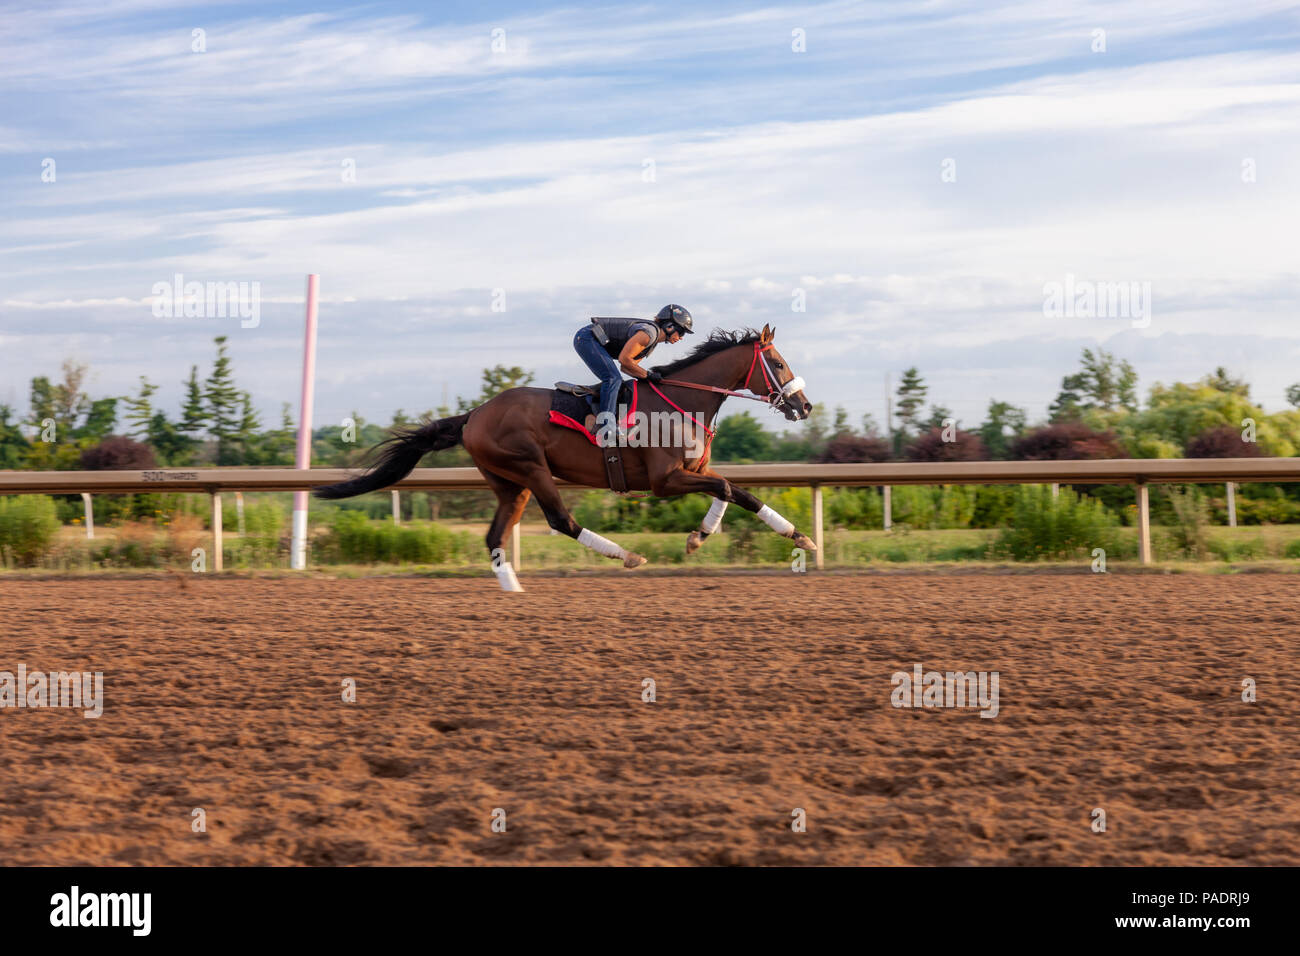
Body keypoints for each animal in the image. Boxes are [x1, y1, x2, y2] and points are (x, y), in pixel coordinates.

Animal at [313, 323, 815, 591]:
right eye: (779, 363)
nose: (804, 405)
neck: (682, 400)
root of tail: (475, 414)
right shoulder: (665, 480)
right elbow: (730, 489)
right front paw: (786, 536)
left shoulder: (695, 469)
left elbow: (732, 492)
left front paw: (712, 536)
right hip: (530, 467)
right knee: (561, 520)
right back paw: (627, 556)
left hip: (508, 483)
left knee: (496, 534)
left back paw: (513, 587)